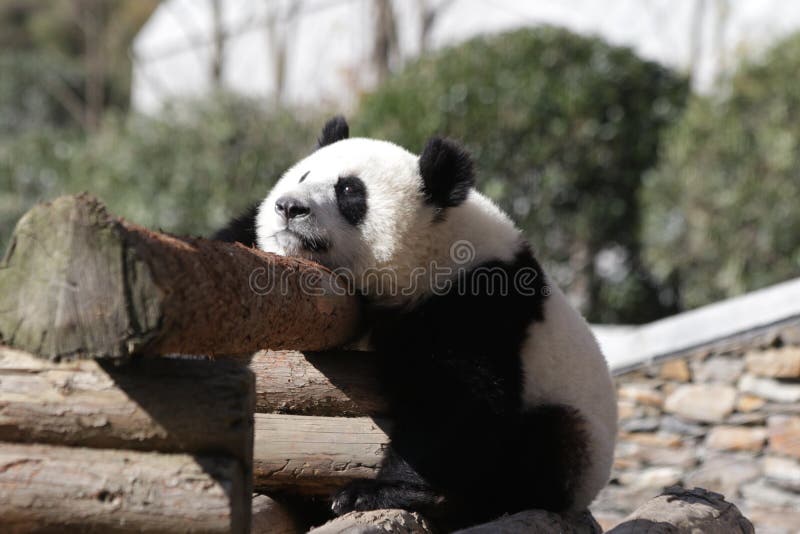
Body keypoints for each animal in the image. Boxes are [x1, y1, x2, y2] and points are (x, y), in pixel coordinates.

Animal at [216, 116, 617, 528]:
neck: (435, 245)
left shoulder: (477, 297)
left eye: (349, 191)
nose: (289, 207)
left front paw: (371, 493)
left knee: (543, 445)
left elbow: (457, 401)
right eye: (303, 175)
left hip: (572, 440)